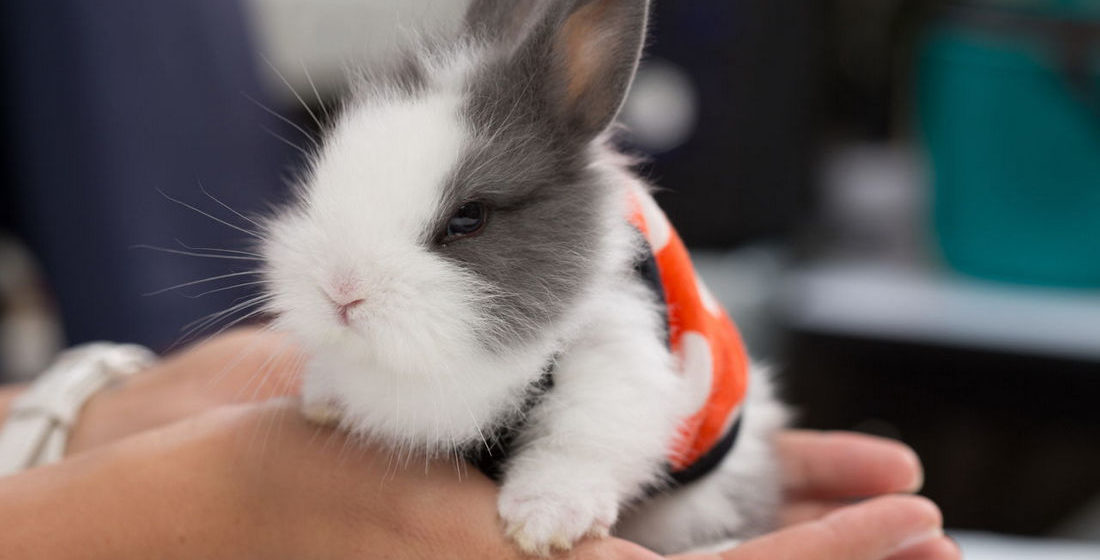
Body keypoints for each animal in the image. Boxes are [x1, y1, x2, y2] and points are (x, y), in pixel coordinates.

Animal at [261, 0, 787, 555]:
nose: (341, 292)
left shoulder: (617, 363)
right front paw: (324, 402)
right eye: (321, 185)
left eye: (468, 218)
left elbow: (580, 441)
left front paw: (546, 522)